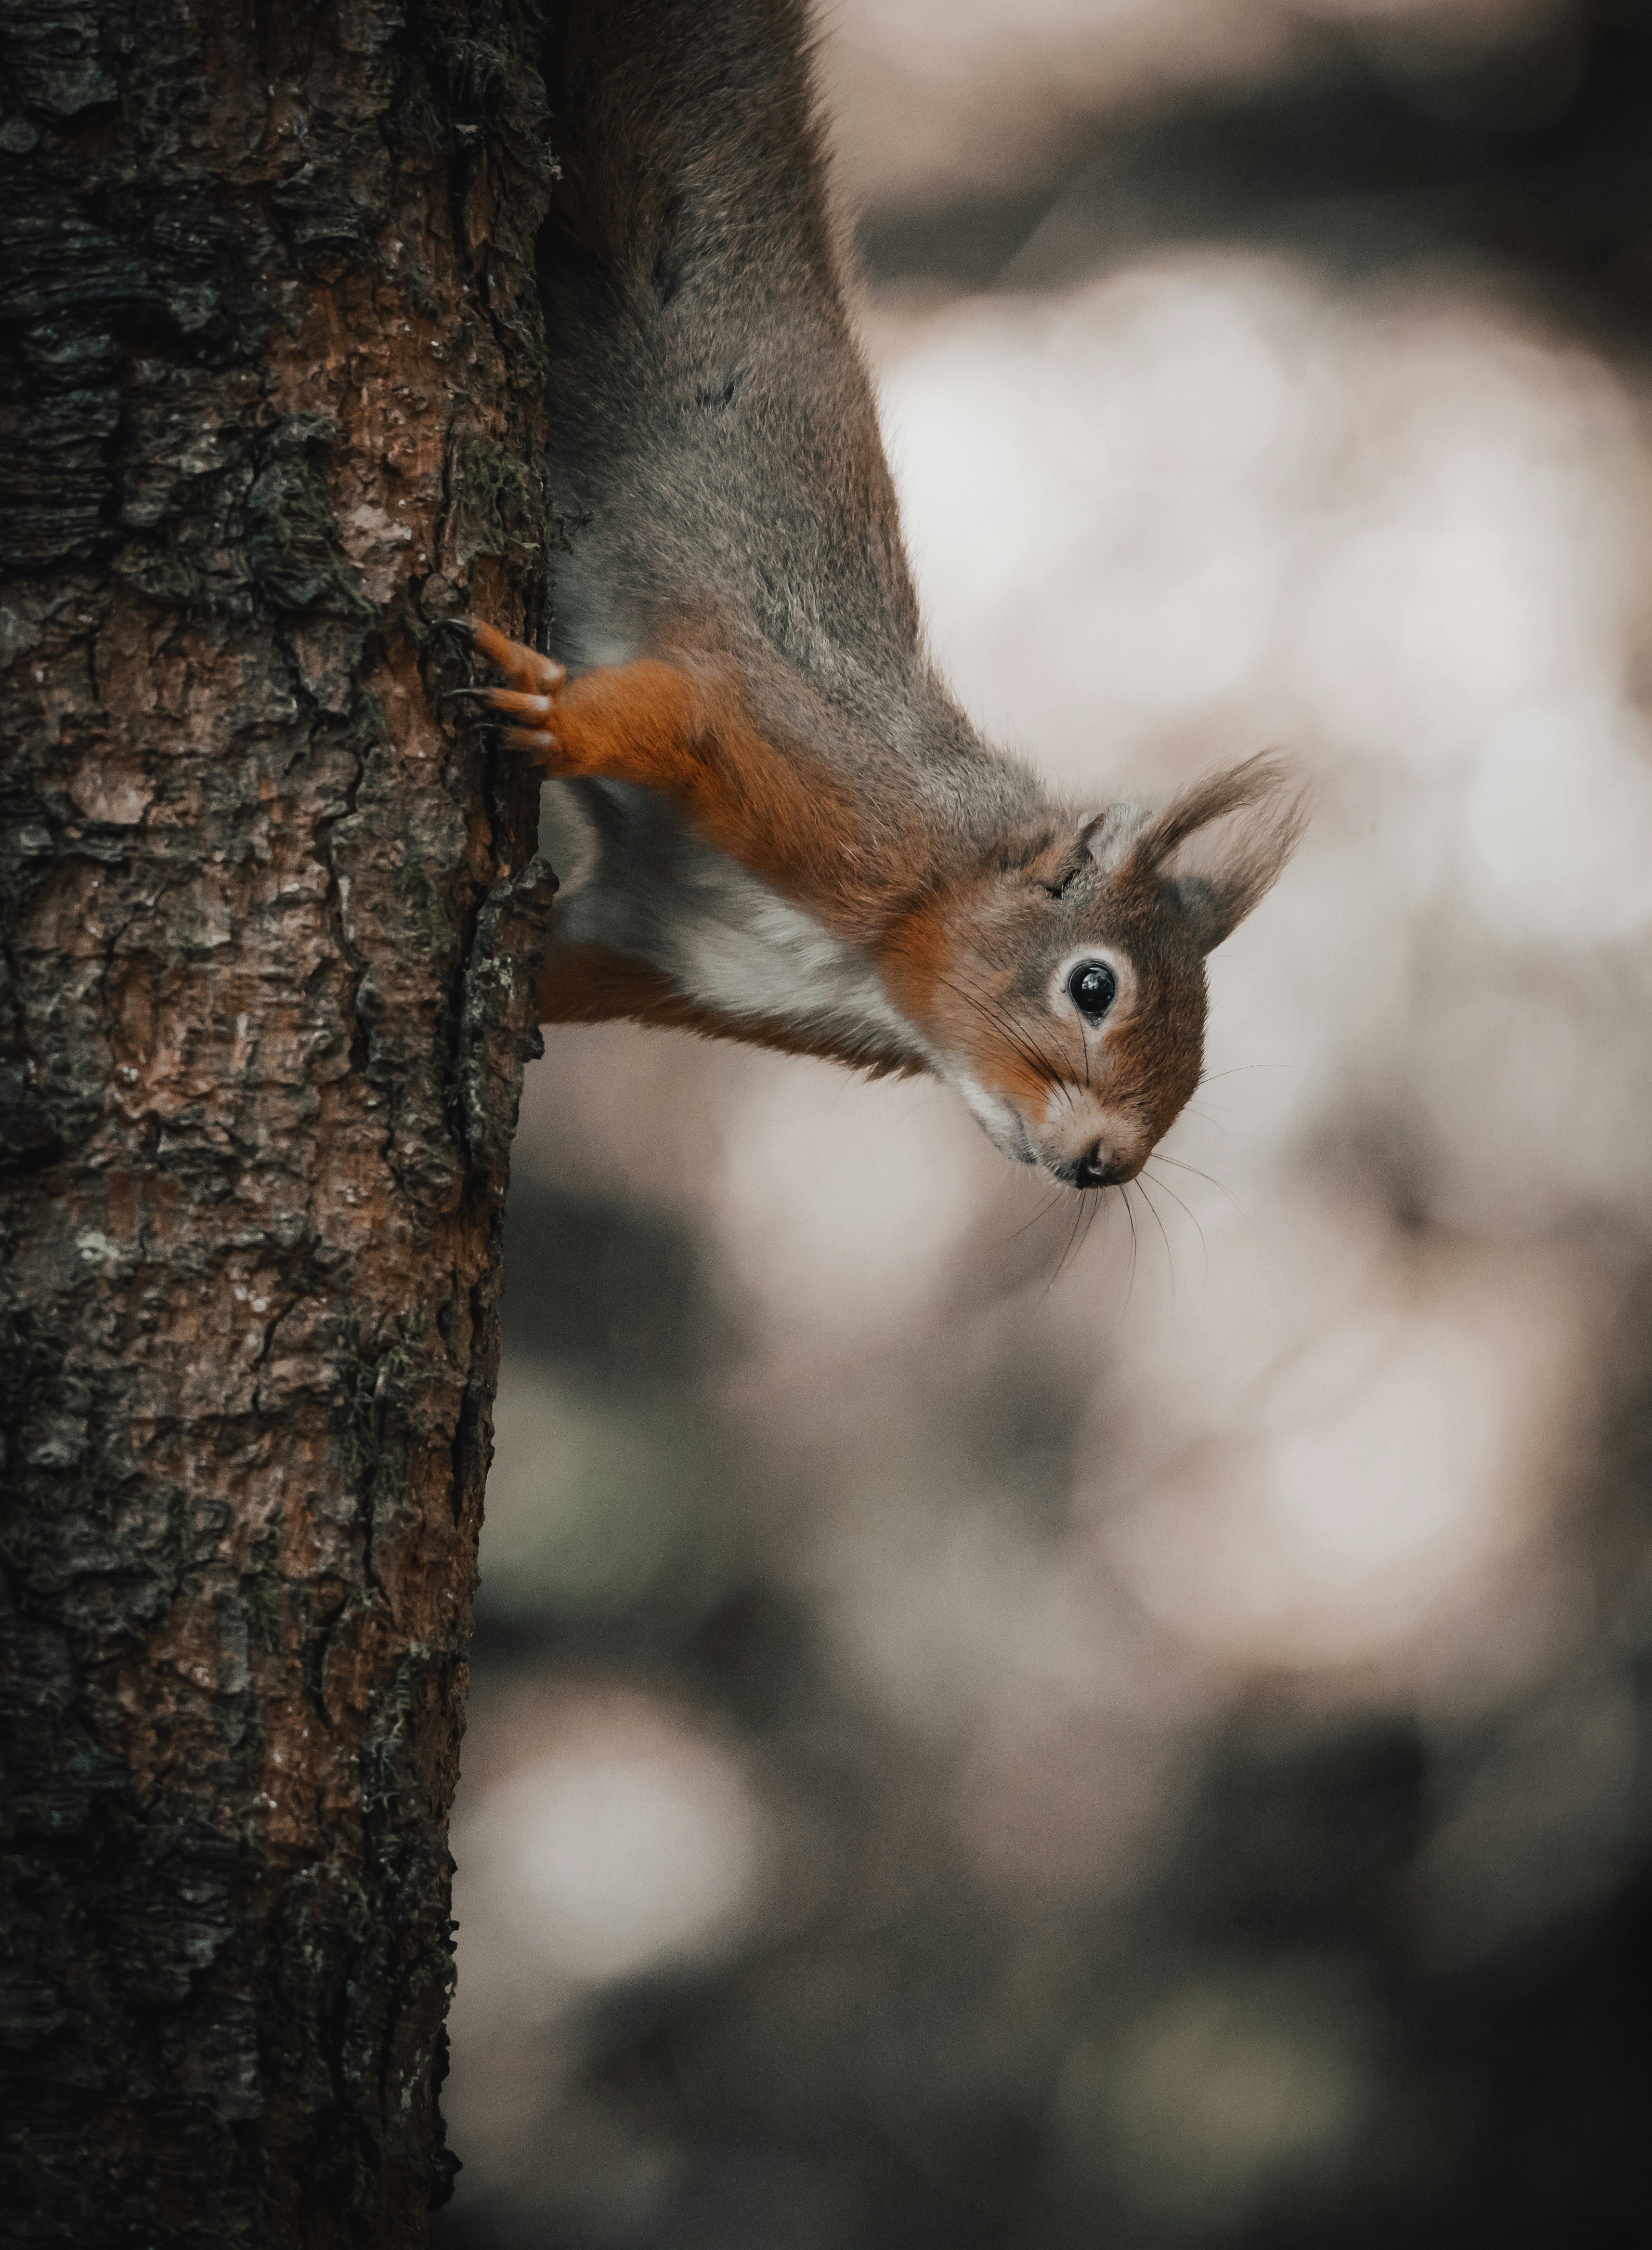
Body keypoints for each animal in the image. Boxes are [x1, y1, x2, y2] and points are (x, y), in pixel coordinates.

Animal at [454, 0, 1307, 1193]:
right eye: (1092, 985)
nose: (1109, 1162)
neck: (884, 954)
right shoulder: (815, 770)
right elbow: (682, 712)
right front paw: (550, 711)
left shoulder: (656, 947)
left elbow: (562, 963)